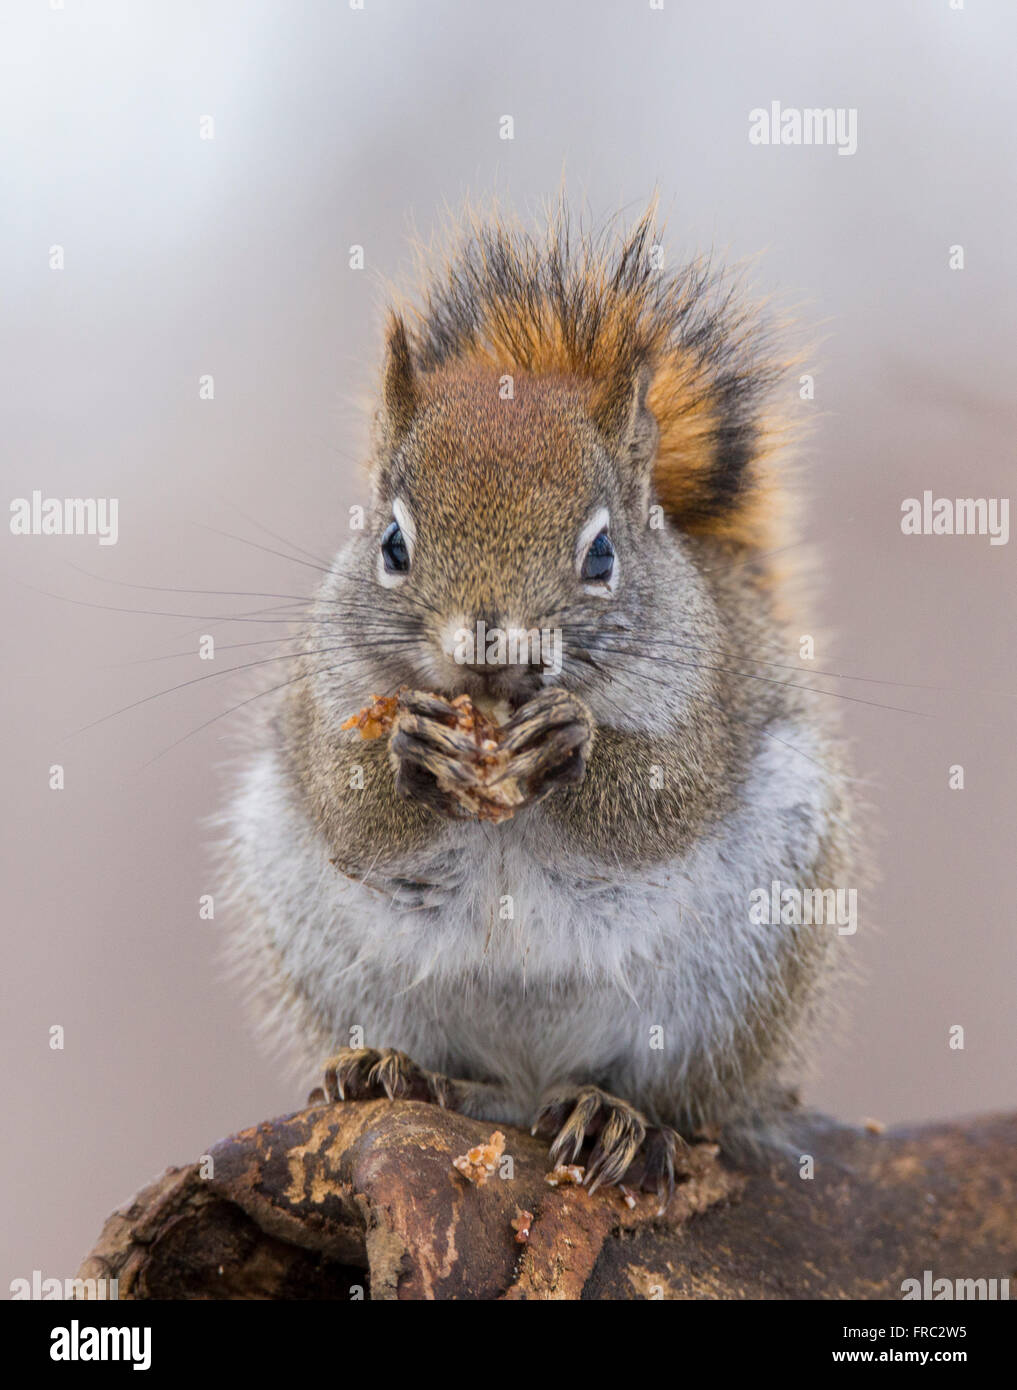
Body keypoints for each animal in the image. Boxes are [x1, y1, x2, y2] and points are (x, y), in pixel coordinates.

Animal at [222, 203, 856, 1203]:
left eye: (601, 555)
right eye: (391, 543)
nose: (492, 650)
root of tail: (529, 1089)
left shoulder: (711, 701)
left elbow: (665, 802)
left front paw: (570, 745)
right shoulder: (319, 696)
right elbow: (346, 809)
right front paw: (411, 755)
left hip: (736, 981)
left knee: (673, 1095)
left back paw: (614, 1118)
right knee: (458, 1078)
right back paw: (397, 1072)